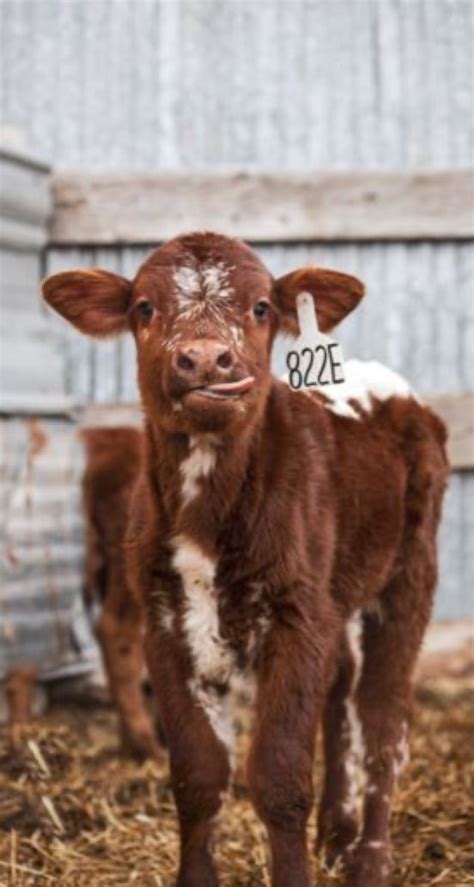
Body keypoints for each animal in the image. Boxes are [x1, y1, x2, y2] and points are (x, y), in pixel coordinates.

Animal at [42, 232, 448, 887]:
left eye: (260, 307)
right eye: (145, 308)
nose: (207, 359)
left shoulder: (296, 619)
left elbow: (279, 777)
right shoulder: (169, 624)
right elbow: (198, 775)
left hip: (409, 572)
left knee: (385, 716)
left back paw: (369, 858)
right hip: (334, 594)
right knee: (341, 689)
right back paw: (336, 835)